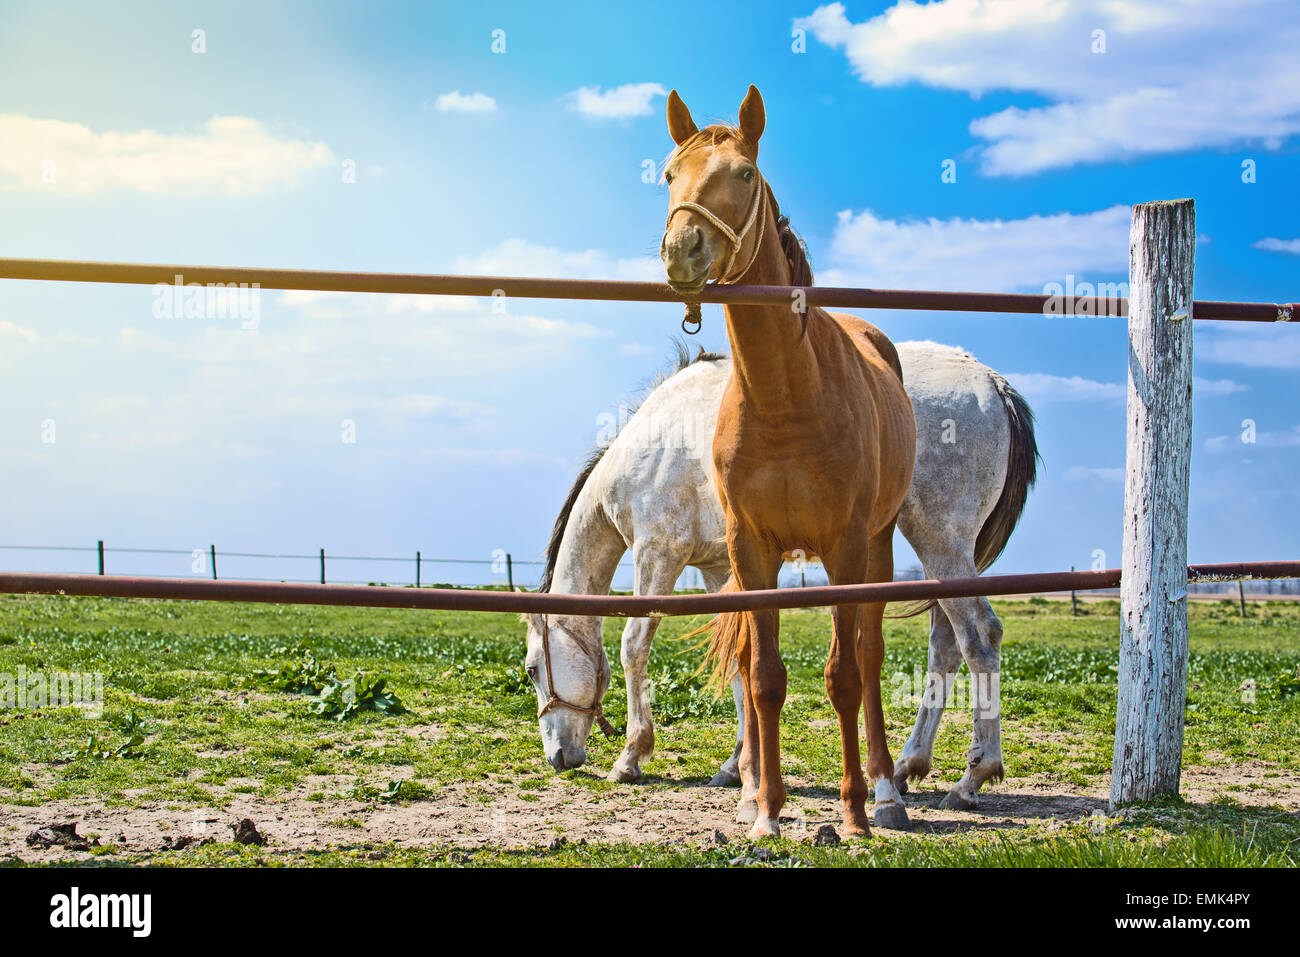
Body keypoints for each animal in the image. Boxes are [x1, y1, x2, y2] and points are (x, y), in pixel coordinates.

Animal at [521, 339, 1037, 810]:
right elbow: (738, 661)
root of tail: (993, 383)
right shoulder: (719, 568)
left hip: (938, 538)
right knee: (946, 648)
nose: (558, 758)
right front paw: (736, 766)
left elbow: (633, 646)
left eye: (531, 669)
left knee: (979, 637)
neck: (651, 442)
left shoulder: (658, 552)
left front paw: (631, 756)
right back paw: (909, 766)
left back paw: (972, 778)